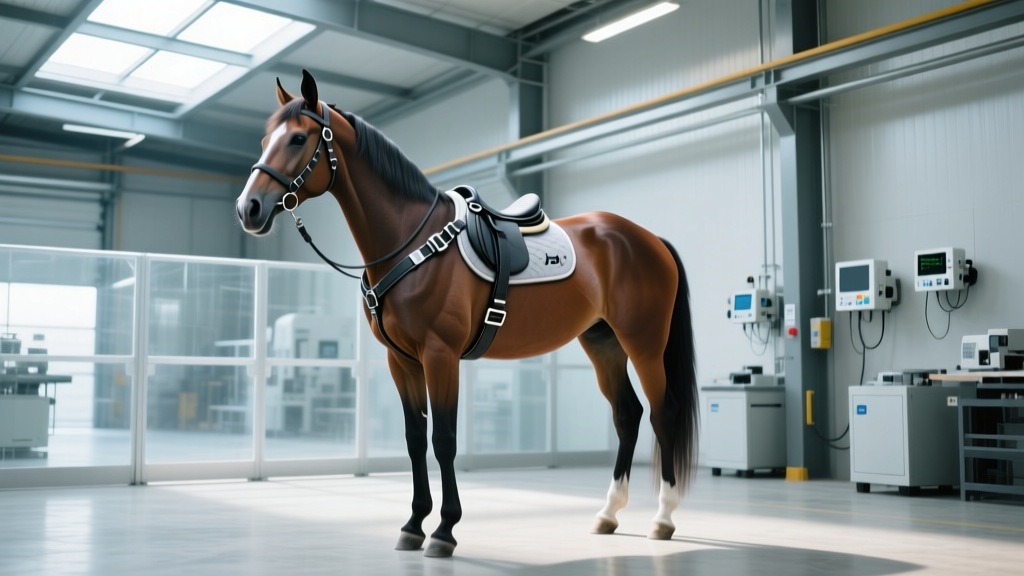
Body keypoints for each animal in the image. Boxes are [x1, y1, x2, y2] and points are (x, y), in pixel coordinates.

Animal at [236, 70, 698, 558]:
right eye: (266, 139)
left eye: (298, 138)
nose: (248, 208)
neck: (411, 240)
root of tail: (648, 238)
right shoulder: (402, 361)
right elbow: (415, 440)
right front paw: (413, 524)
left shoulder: (441, 356)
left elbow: (443, 440)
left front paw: (444, 530)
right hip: (602, 342)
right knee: (627, 415)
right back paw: (608, 514)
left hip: (643, 343)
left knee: (662, 411)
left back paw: (663, 519)